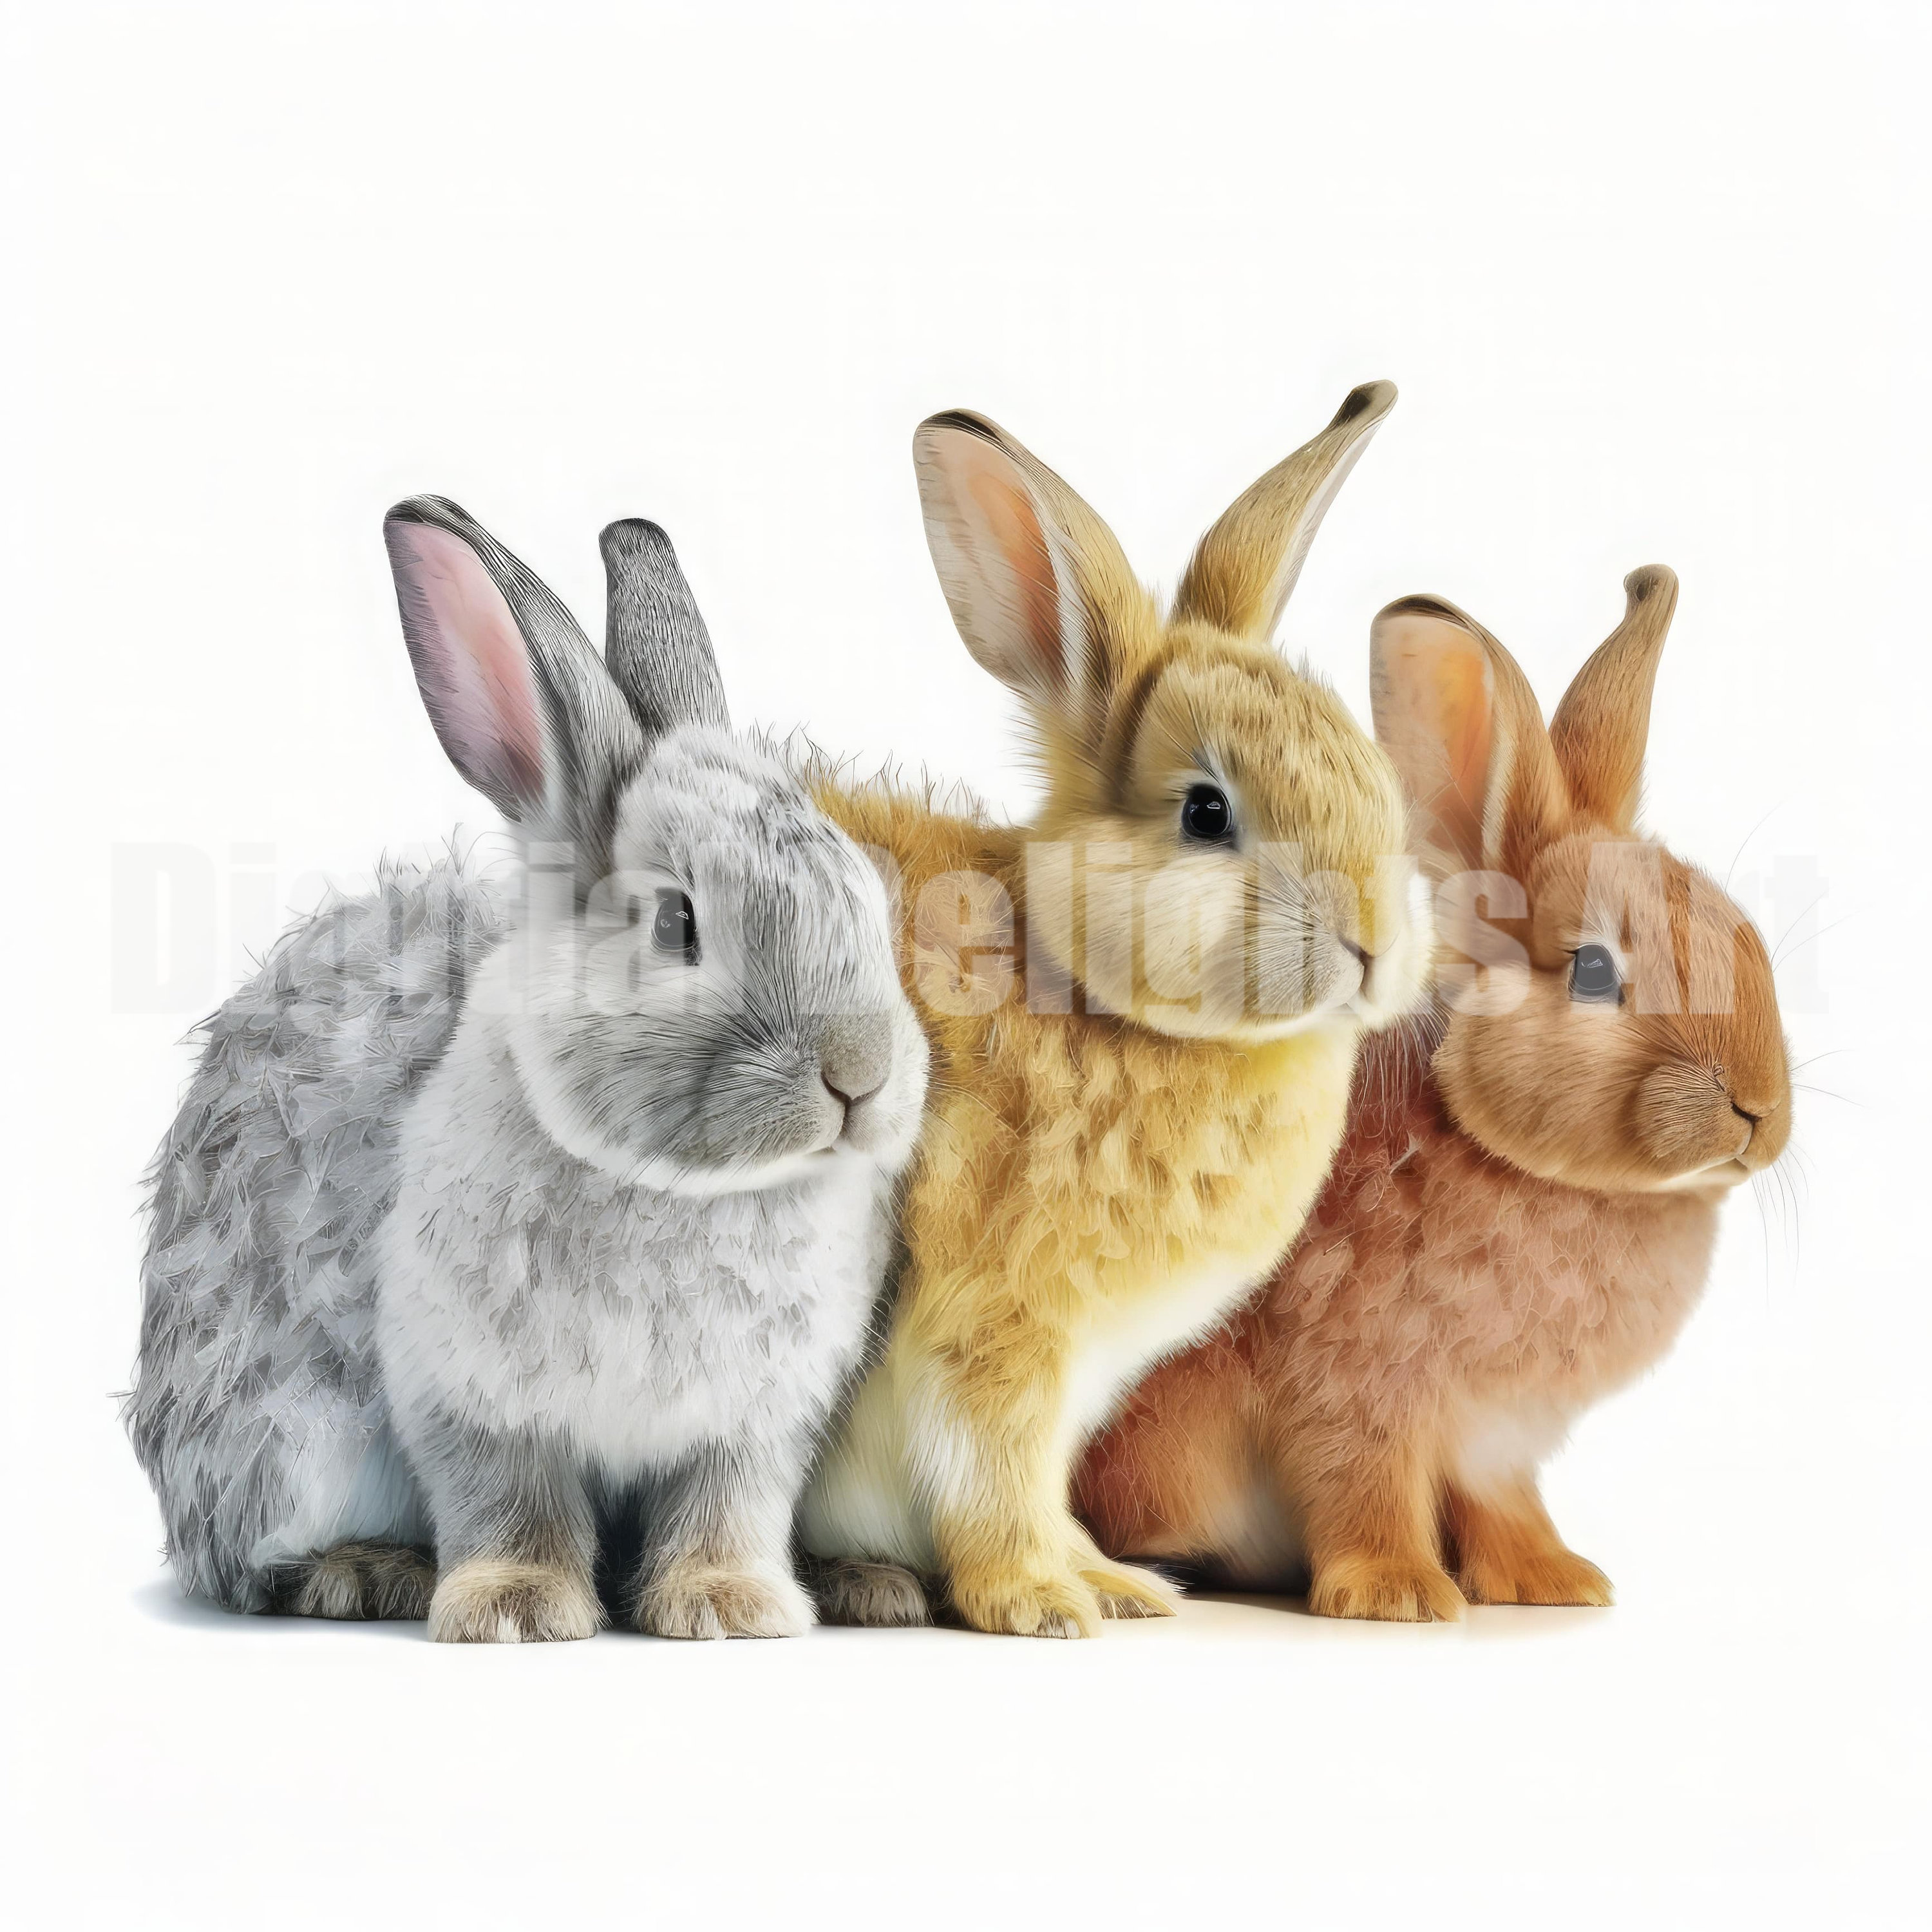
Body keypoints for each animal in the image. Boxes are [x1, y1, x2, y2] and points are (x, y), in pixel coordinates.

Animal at [127, 498, 929, 1641]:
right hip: (286, 1447)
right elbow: (509, 1500)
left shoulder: (754, 1423)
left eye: (864, 894)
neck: (672, 1185)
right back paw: (365, 1573)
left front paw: (727, 1605)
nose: (861, 1076)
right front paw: (515, 1608)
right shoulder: (465, 1396)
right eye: (678, 923)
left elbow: (725, 1507)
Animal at [796, 383, 1431, 1637]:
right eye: (1205, 811)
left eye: (1373, 778)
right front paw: (1044, 1601)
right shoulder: (998, 1333)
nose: (1375, 945)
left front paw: (1110, 1581)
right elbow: (995, 1469)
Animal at [1074, 566, 1793, 1620]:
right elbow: (1362, 1483)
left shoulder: (1496, 1440)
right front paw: (1399, 1594)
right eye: (1592, 970)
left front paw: (1555, 1581)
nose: (1760, 1111)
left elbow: (1504, 1505)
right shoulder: (1357, 1389)